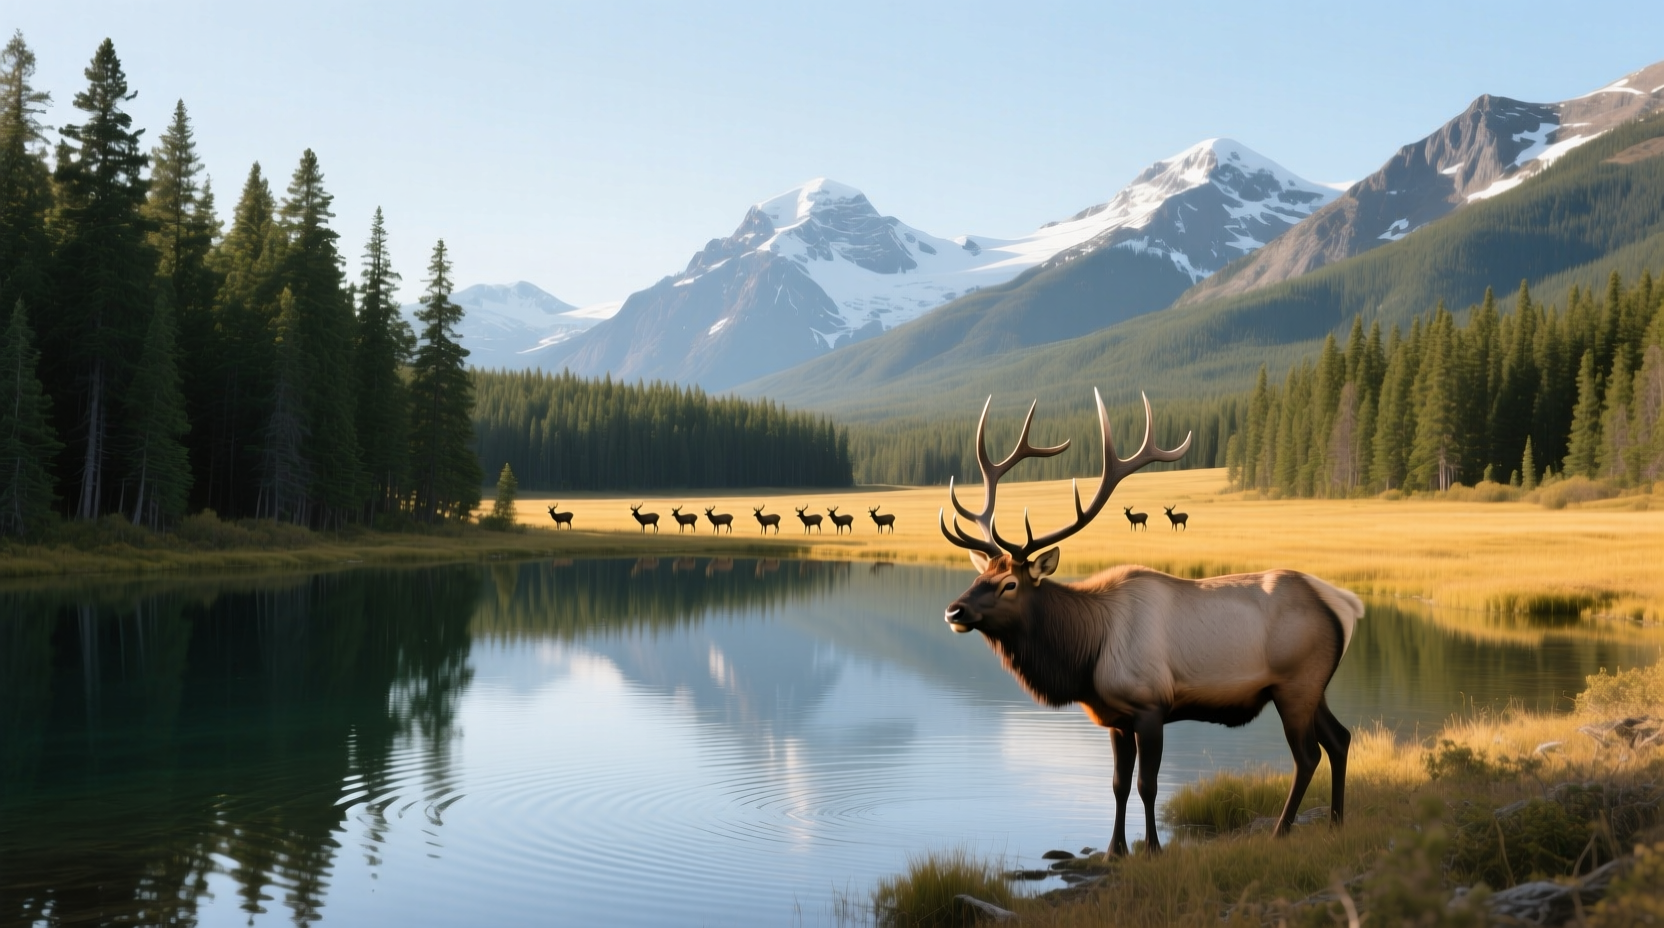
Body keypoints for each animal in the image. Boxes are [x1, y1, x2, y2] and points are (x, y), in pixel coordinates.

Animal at [939, 391, 1361, 856]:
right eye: (979, 576)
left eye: (1009, 583)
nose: (954, 611)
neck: (1087, 654)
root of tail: (1344, 604)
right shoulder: (1115, 718)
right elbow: (1118, 784)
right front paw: (1114, 850)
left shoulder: (1150, 706)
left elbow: (1148, 785)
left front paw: (1153, 849)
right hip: (1312, 686)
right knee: (1340, 738)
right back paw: (1337, 823)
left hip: (1295, 684)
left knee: (1308, 755)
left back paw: (1281, 830)